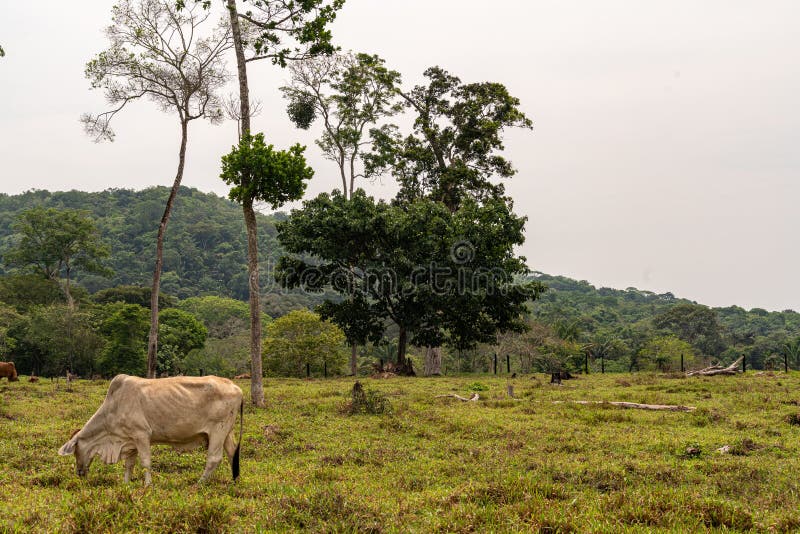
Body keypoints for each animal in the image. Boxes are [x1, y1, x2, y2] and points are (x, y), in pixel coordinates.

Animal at [58, 374, 243, 485]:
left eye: (76, 450)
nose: (79, 472)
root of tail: (236, 387)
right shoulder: (130, 440)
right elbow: (129, 465)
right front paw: (126, 484)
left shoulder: (142, 435)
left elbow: (145, 462)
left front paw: (148, 485)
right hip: (227, 432)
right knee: (232, 453)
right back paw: (234, 481)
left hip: (218, 430)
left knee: (214, 459)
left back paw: (199, 484)